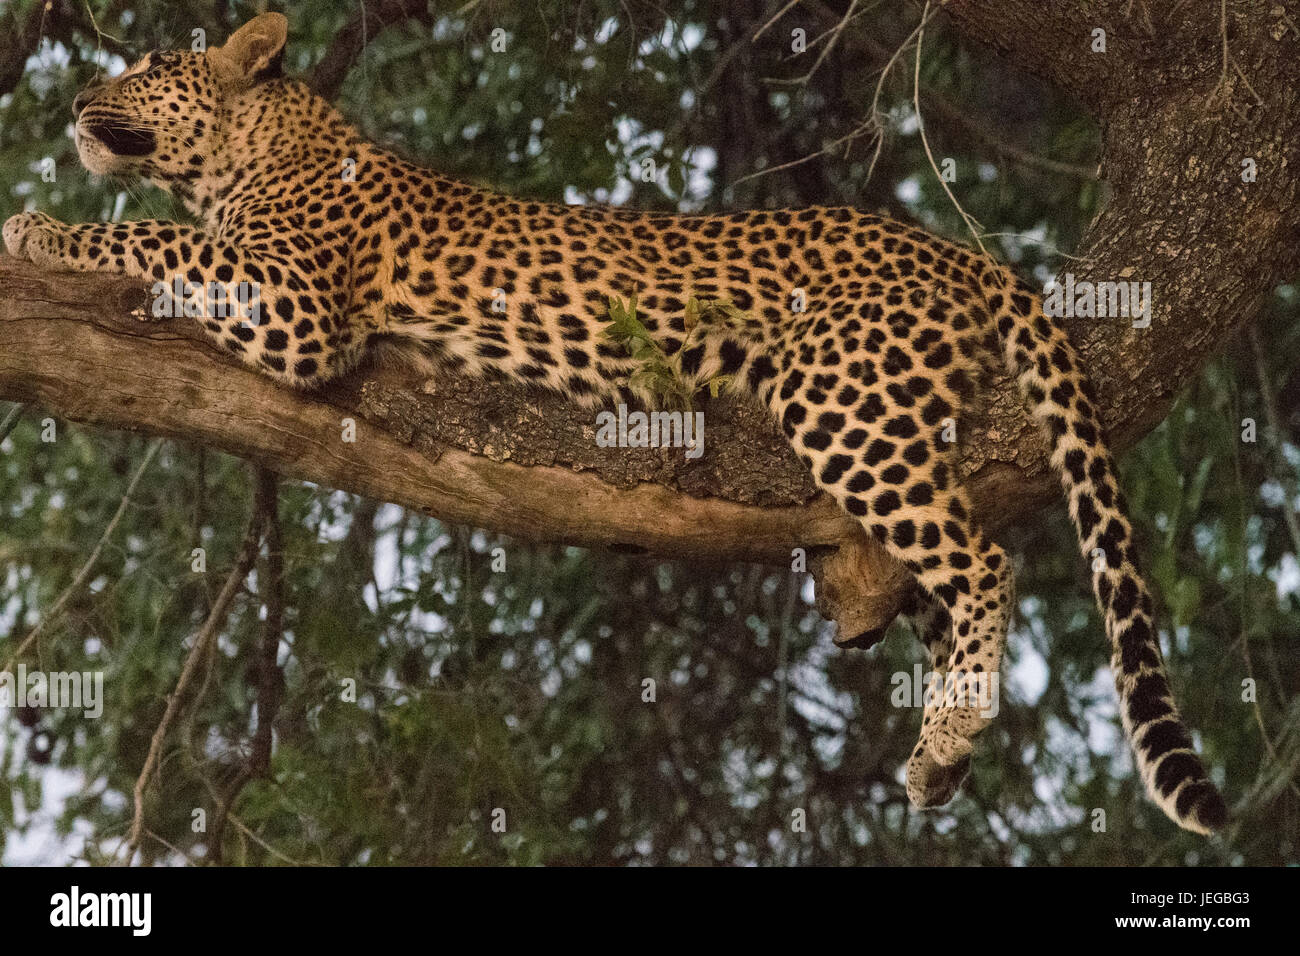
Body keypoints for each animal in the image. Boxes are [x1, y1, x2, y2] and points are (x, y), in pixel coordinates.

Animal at [2, 13, 1227, 835]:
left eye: (146, 67)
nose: (70, 104)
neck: (254, 152)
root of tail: (953, 248)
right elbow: (162, 236)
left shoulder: (294, 300)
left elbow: (153, 241)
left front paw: (36, 229)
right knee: (936, 567)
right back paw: (938, 756)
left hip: (842, 399)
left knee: (980, 558)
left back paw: (952, 730)